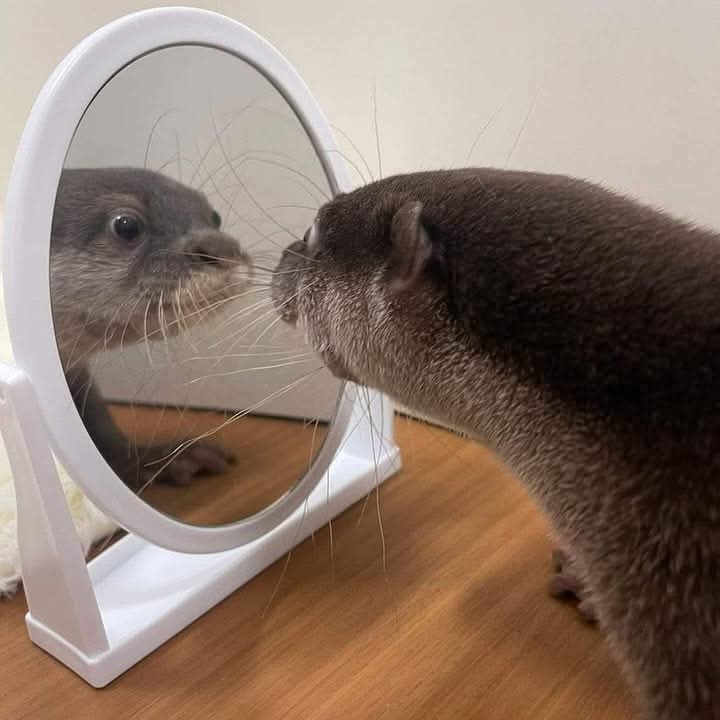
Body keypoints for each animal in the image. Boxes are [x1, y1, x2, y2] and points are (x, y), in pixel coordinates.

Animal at [51, 167, 249, 488]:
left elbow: (97, 421)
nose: (224, 248)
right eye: (126, 225)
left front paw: (156, 458)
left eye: (215, 216)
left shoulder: (76, 372)